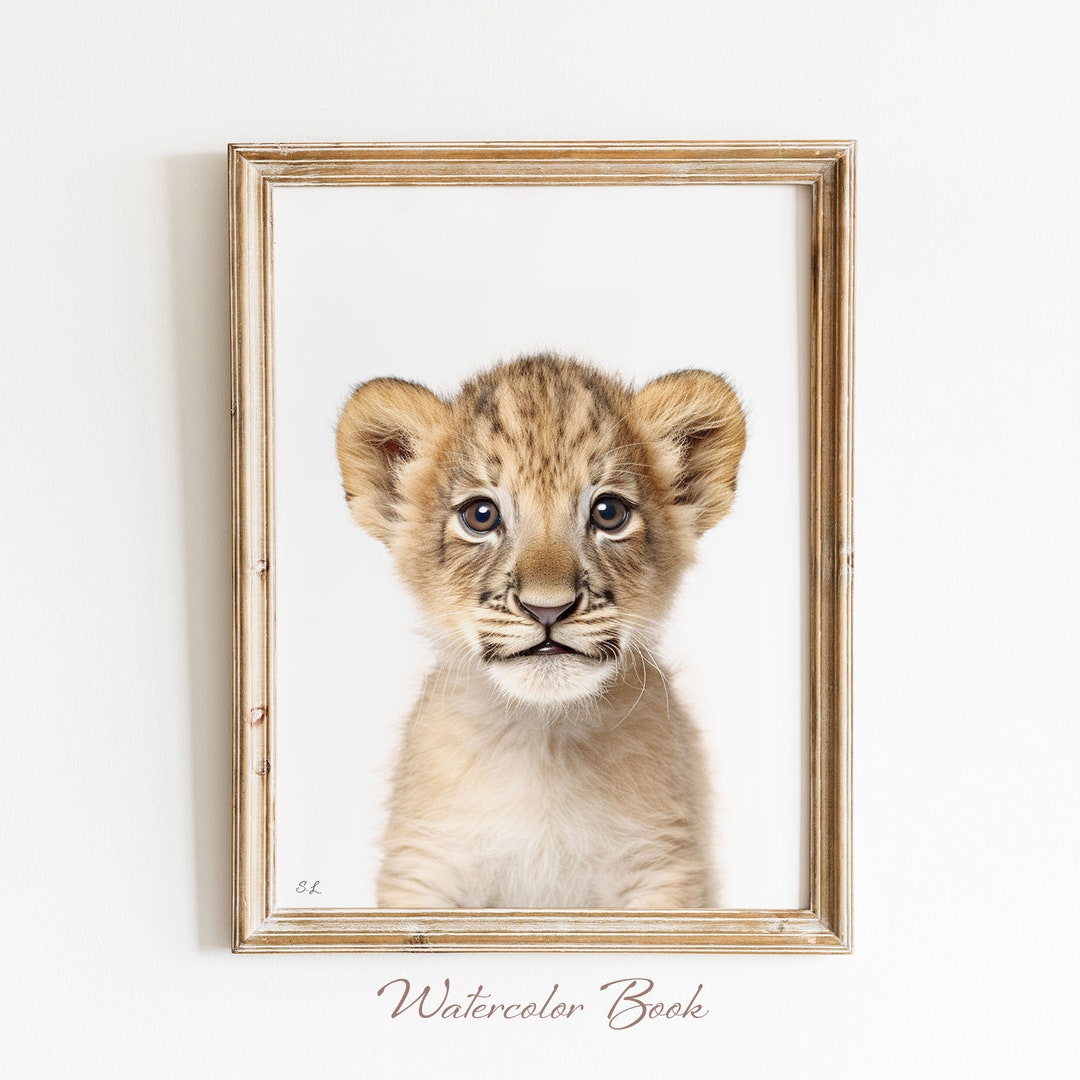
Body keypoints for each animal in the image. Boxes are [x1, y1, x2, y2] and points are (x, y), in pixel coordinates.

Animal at [336, 354, 746, 908]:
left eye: (609, 513)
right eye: (480, 515)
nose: (547, 609)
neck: (541, 736)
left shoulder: (662, 867)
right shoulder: (423, 866)